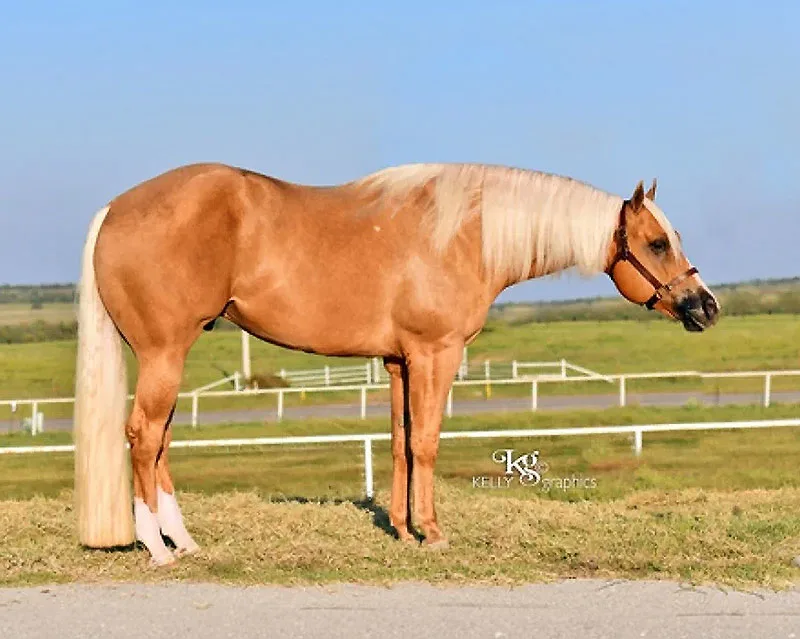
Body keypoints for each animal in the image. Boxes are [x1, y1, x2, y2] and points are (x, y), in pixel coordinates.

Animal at [73, 162, 720, 565]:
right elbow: (427, 442)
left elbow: (400, 443)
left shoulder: (397, 362)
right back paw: (158, 549)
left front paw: (404, 531)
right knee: (143, 435)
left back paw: (183, 540)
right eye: (657, 243)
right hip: (164, 354)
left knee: (159, 440)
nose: (706, 306)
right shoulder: (436, 354)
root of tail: (113, 209)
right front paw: (433, 534)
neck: (462, 235)